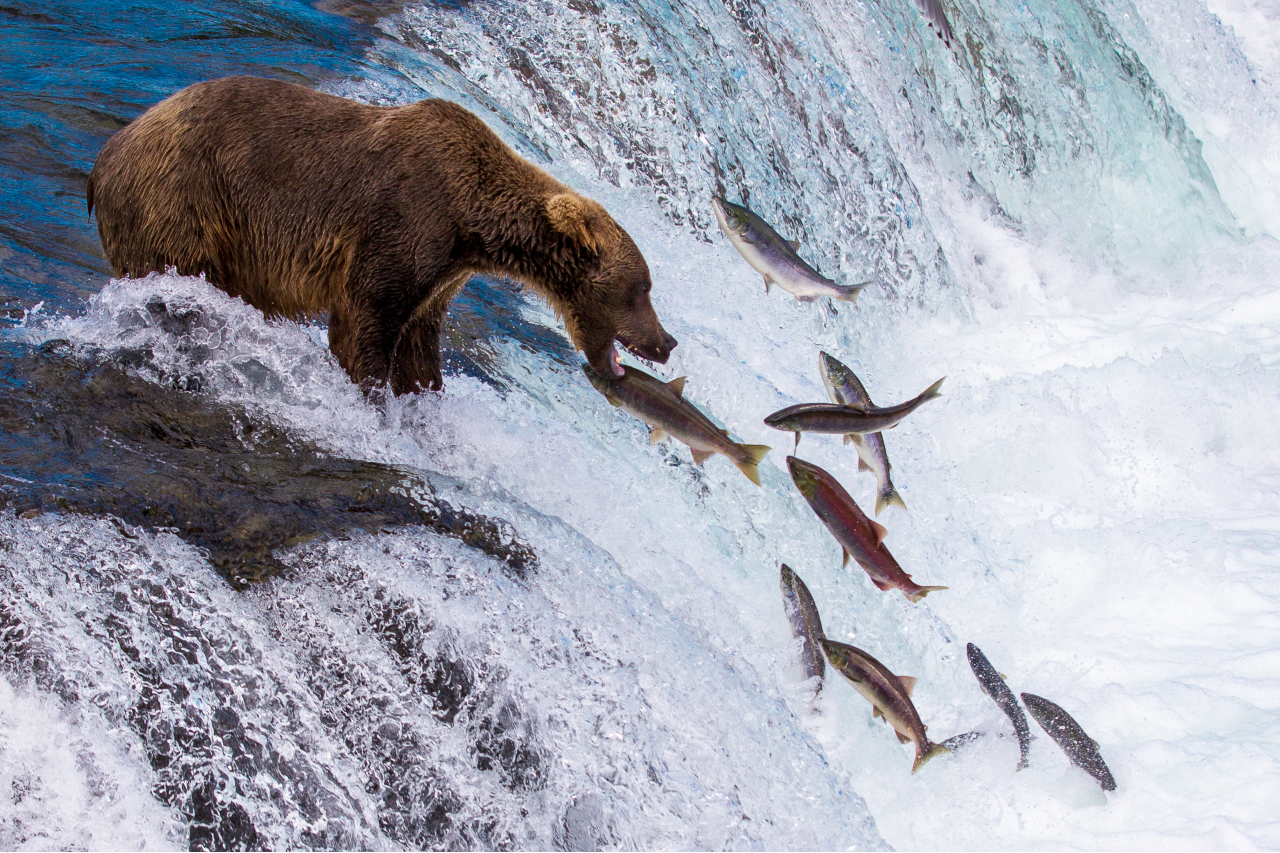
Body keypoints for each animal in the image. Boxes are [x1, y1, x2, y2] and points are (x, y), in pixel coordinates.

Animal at [87, 76, 677, 393]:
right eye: (642, 287)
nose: (667, 342)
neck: (472, 224)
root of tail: (107, 153)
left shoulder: (442, 273)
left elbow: (418, 344)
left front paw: (423, 400)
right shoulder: (407, 218)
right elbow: (364, 322)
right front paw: (372, 402)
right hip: (183, 202)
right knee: (178, 295)